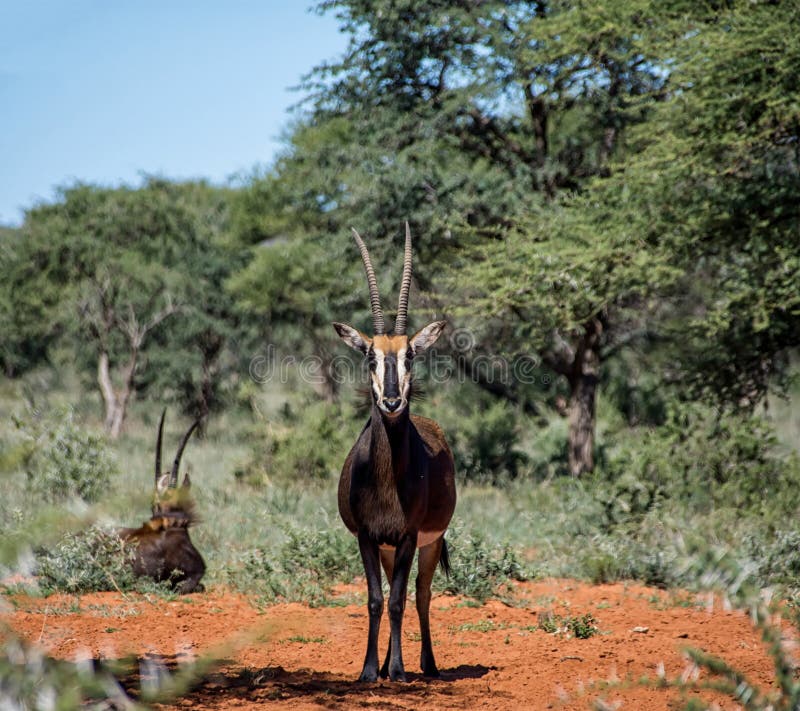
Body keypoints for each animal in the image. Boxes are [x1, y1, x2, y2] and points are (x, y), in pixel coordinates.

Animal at [333, 223, 457, 682]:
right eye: (371, 355)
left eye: (411, 355)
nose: (390, 402)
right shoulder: (369, 537)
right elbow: (375, 600)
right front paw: (371, 670)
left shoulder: (407, 536)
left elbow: (401, 600)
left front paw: (400, 671)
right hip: (389, 548)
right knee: (392, 594)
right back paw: (387, 664)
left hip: (428, 543)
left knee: (420, 595)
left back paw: (427, 666)